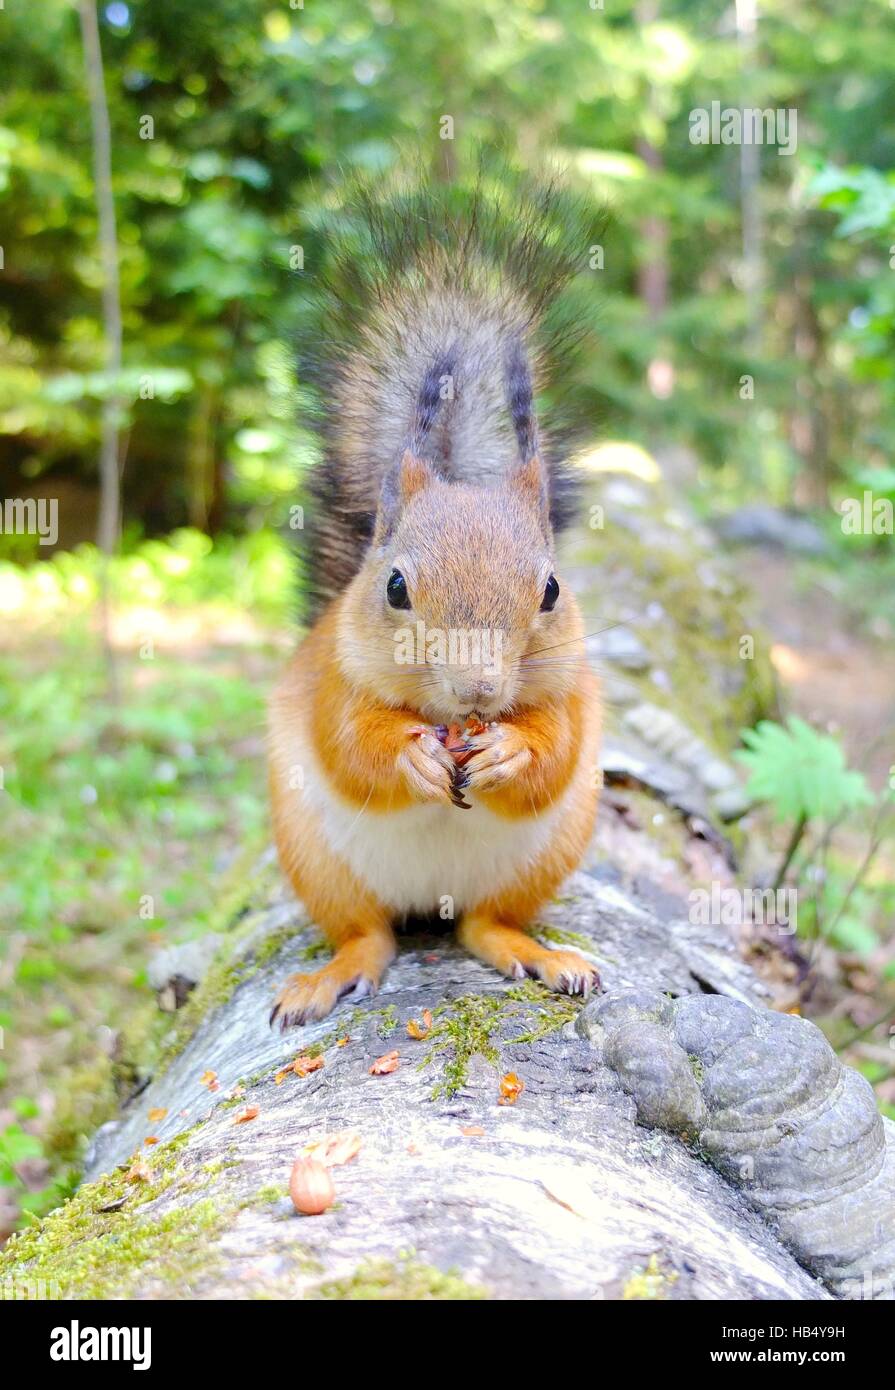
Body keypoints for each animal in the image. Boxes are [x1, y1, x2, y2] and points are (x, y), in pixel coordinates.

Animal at [268, 177, 602, 1028]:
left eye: (551, 589)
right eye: (393, 587)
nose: (478, 690)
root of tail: (432, 903)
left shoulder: (575, 688)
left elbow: (557, 746)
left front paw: (511, 748)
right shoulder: (333, 676)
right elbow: (350, 743)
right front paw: (407, 754)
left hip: (542, 859)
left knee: (485, 925)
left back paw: (538, 954)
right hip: (319, 865)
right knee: (367, 935)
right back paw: (330, 975)